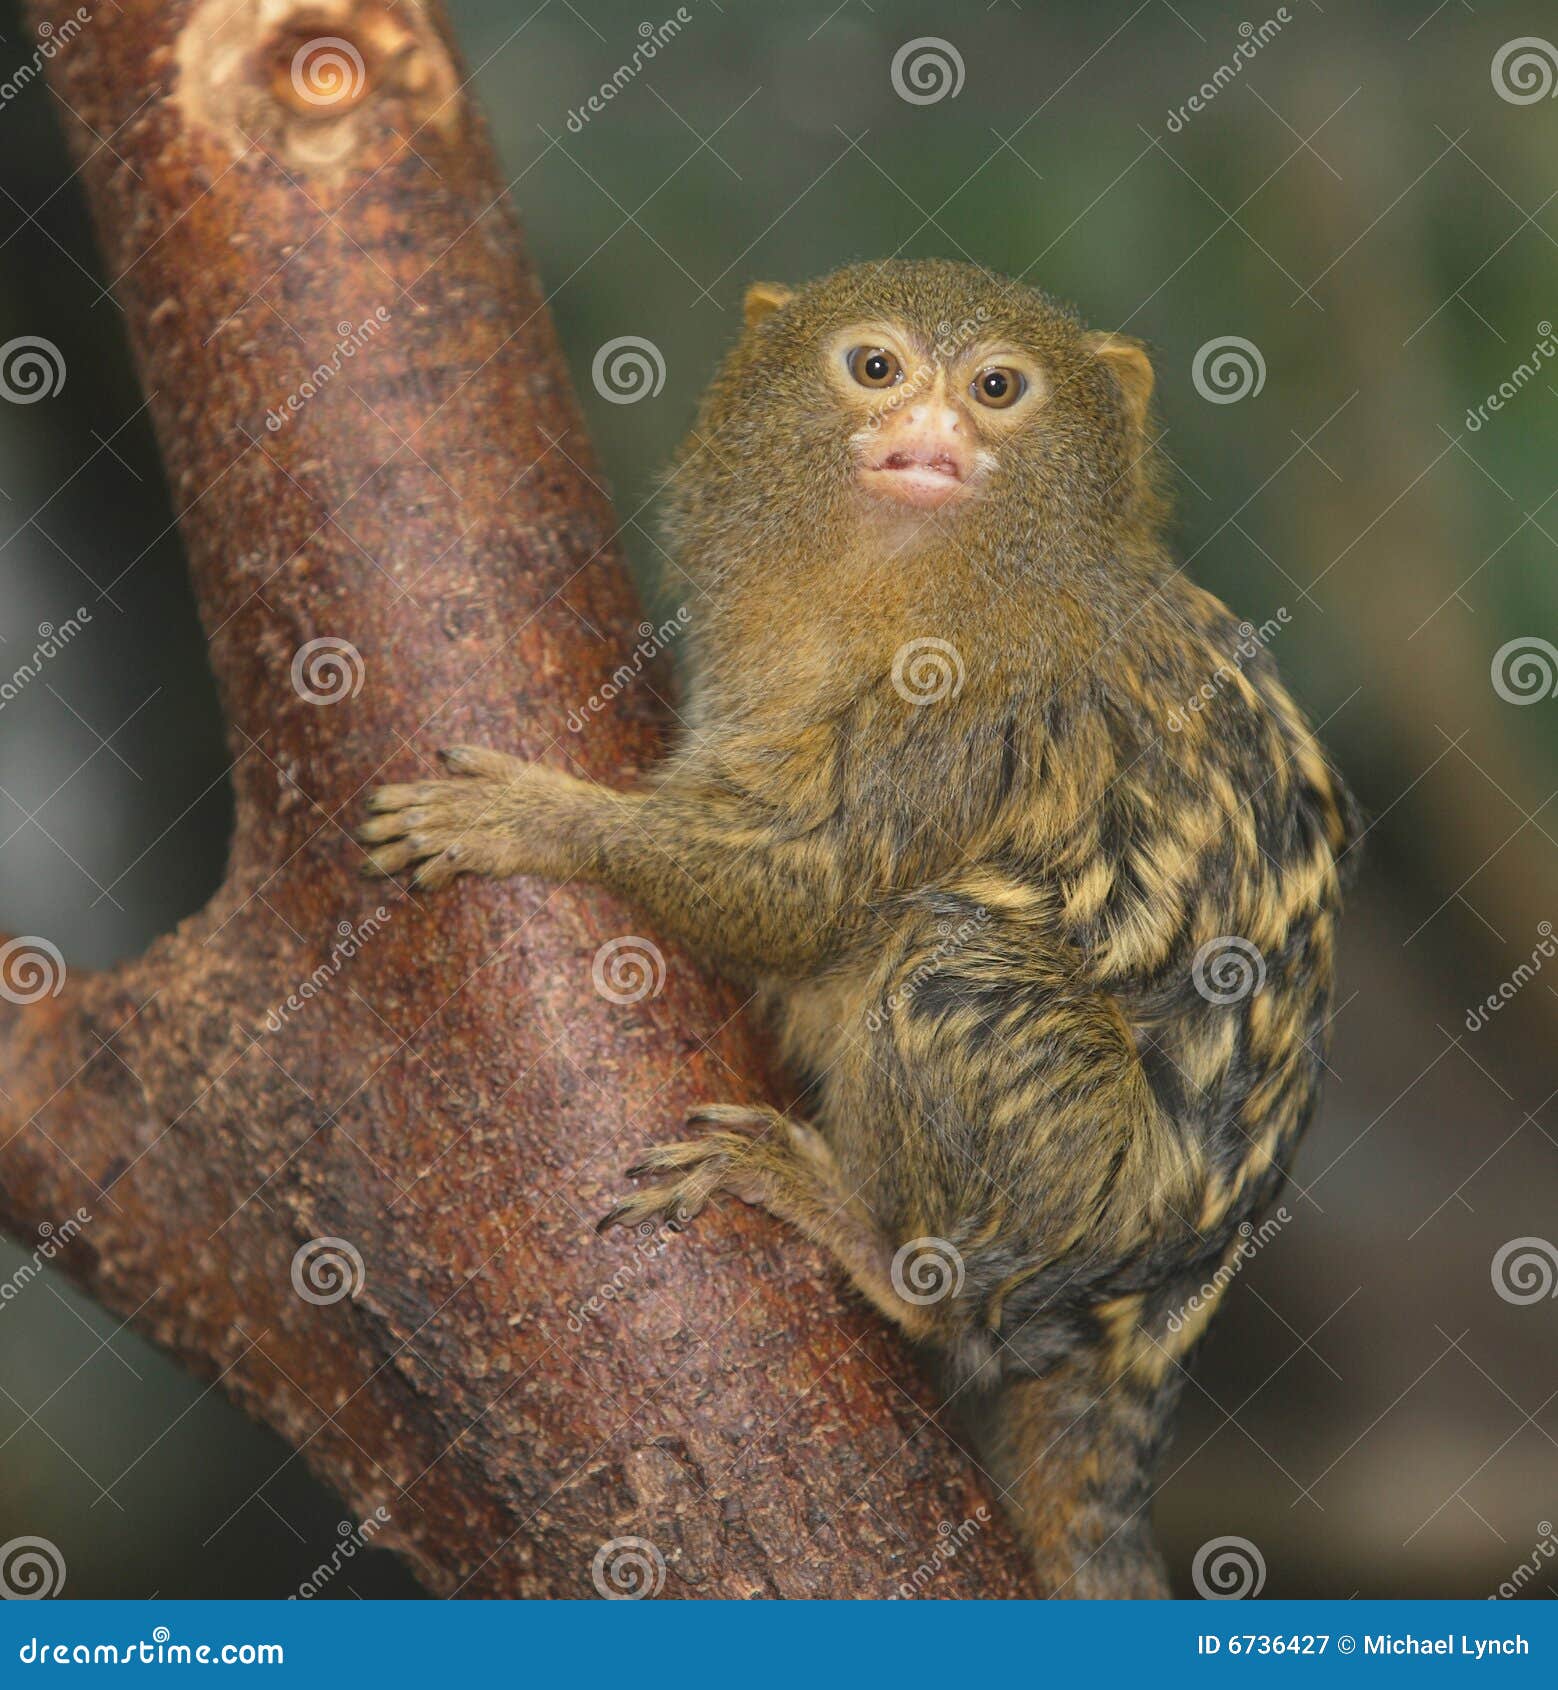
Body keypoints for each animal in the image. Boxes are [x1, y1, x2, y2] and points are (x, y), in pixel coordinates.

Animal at [359, 259, 1359, 1598]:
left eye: (998, 389)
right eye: (874, 368)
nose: (928, 430)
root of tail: (1156, 1316)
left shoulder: (967, 717)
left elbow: (809, 890)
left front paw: (543, 818)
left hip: (1085, 1197)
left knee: (954, 979)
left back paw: (875, 1248)